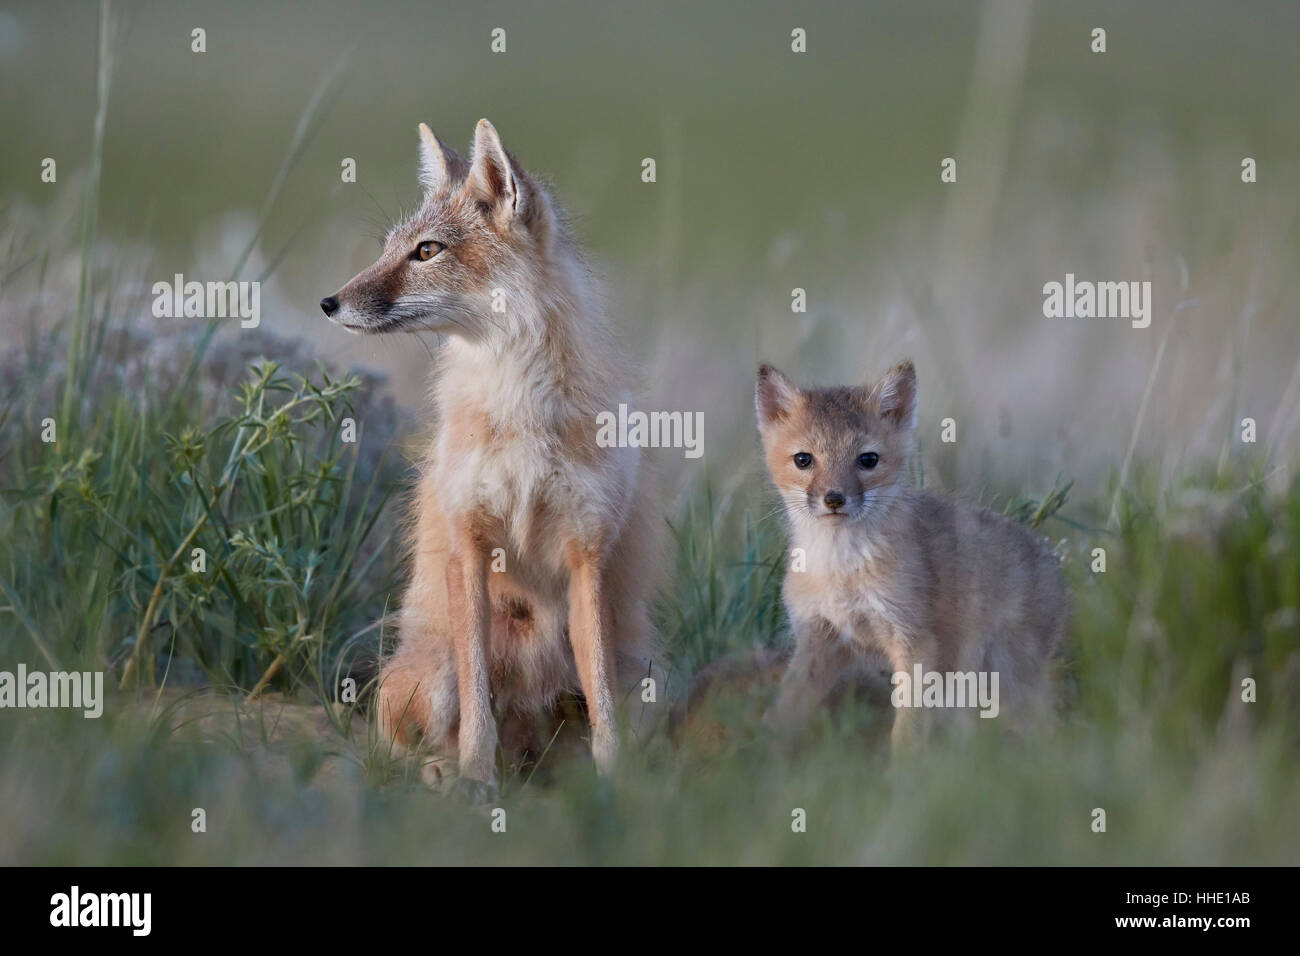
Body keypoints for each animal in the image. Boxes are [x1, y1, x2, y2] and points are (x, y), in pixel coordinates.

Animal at [321, 119, 664, 798]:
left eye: (426, 252)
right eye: (389, 248)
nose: (330, 303)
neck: (521, 410)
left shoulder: (587, 554)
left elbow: (604, 707)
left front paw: (615, 786)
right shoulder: (470, 544)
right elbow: (477, 702)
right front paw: (477, 784)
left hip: (642, 673)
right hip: (431, 674)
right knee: (392, 748)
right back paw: (442, 773)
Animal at [754, 360, 1070, 749]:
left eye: (868, 460)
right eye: (803, 460)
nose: (834, 498)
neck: (842, 568)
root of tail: (1051, 555)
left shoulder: (914, 643)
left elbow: (907, 732)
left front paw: (900, 768)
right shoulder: (818, 642)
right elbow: (782, 714)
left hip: (1009, 683)